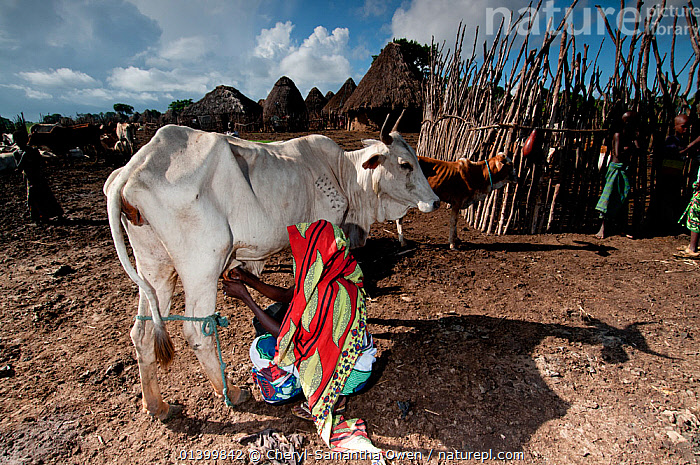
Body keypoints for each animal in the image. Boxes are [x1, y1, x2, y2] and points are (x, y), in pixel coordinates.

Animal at [103, 115, 440, 420]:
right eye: (405, 164)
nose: (435, 202)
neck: (345, 176)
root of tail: (131, 169)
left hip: (155, 269)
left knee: (142, 332)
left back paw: (157, 406)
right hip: (202, 265)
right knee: (197, 331)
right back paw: (230, 391)